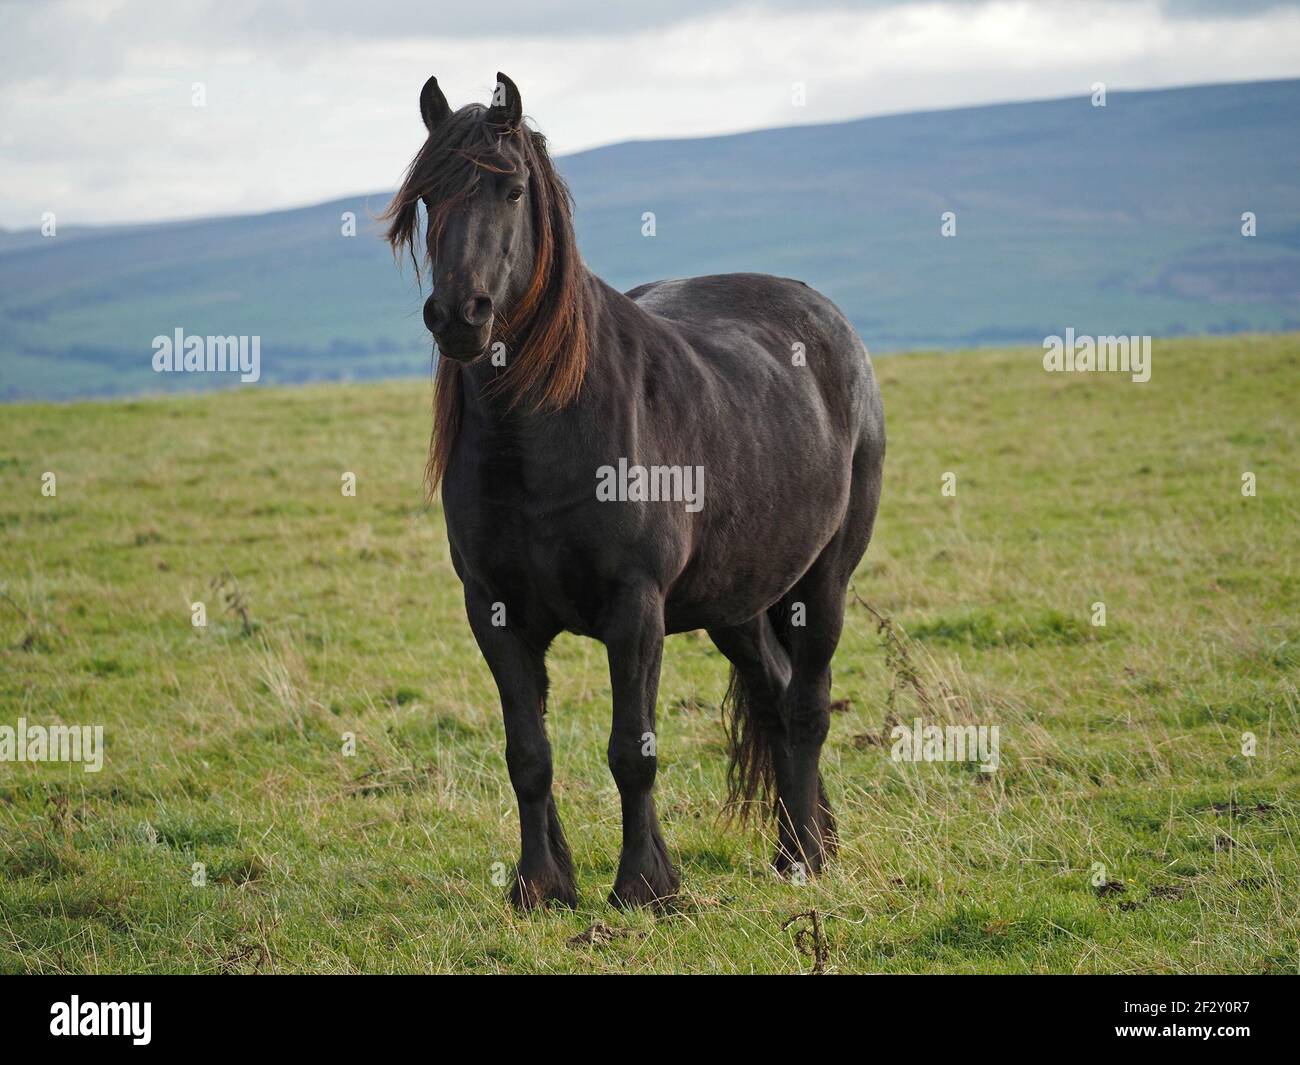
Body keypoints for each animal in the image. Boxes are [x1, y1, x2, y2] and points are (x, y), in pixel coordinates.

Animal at [384, 73, 885, 910]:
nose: (460, 315)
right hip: (736, 603)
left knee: (808, 704)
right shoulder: (493, 611)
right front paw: (540, 885)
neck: (540, 436)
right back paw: (800, 840)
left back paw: (806, 855)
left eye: (511, 188)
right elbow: (528, 752)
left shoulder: (636, 607)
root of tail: (826, 320)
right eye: (427, 198)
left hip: (823, 582)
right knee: (776, 697)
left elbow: (632, 750)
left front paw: (647, 886)